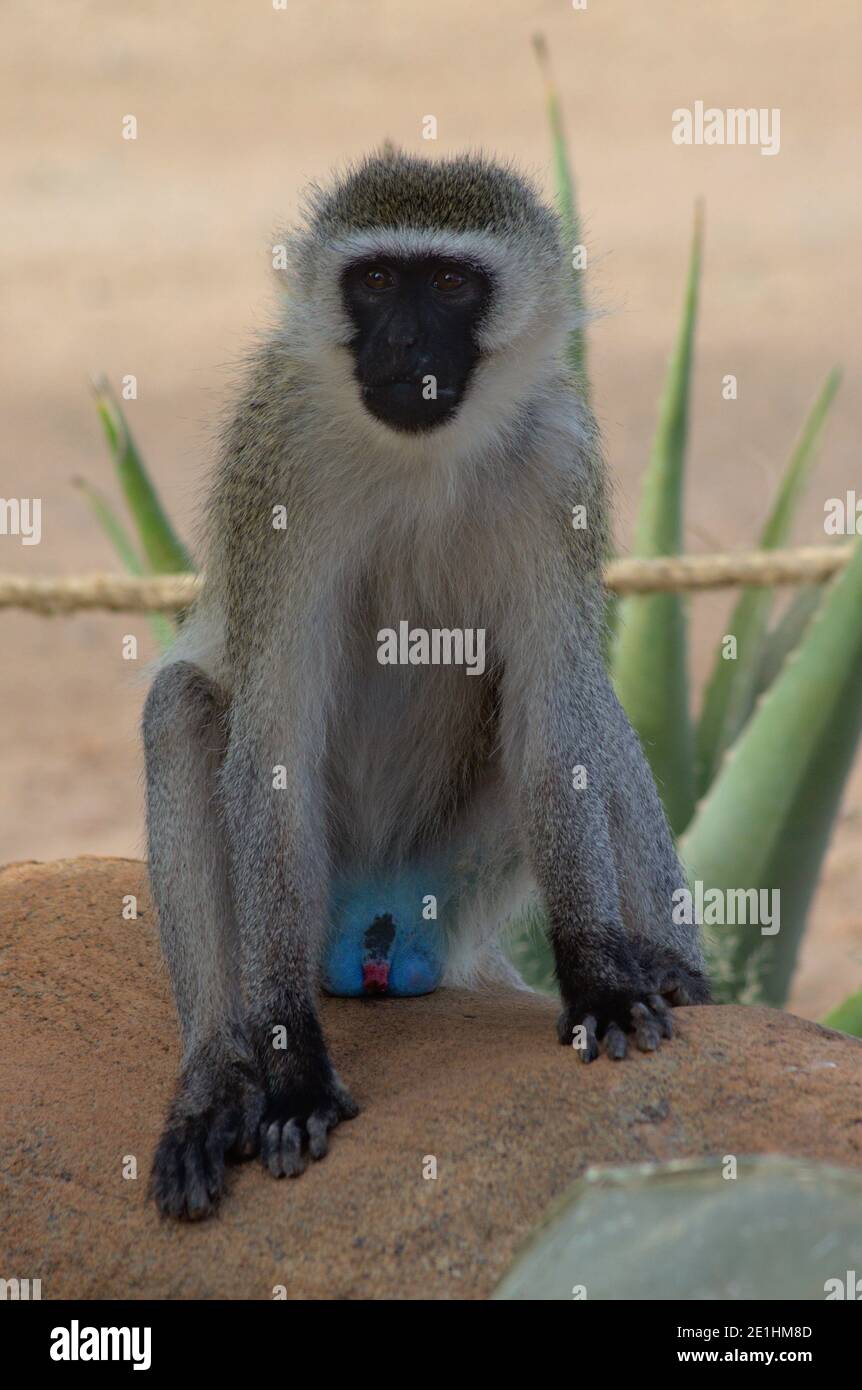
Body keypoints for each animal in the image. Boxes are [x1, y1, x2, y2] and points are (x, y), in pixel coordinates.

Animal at [143, 150, 710, 1220]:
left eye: (448, 283)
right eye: (374, 280)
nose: (403, 340)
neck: (424, 455)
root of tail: (379, 914)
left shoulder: (559, 464)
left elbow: (556, 720)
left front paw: (601, 978)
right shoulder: (282, 457)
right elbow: (270, 743)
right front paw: (289, 1072)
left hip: (459, 868)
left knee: (585, 702)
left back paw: (668, 968)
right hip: (321, 884)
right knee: (183, 711)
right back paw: (216, 1082)